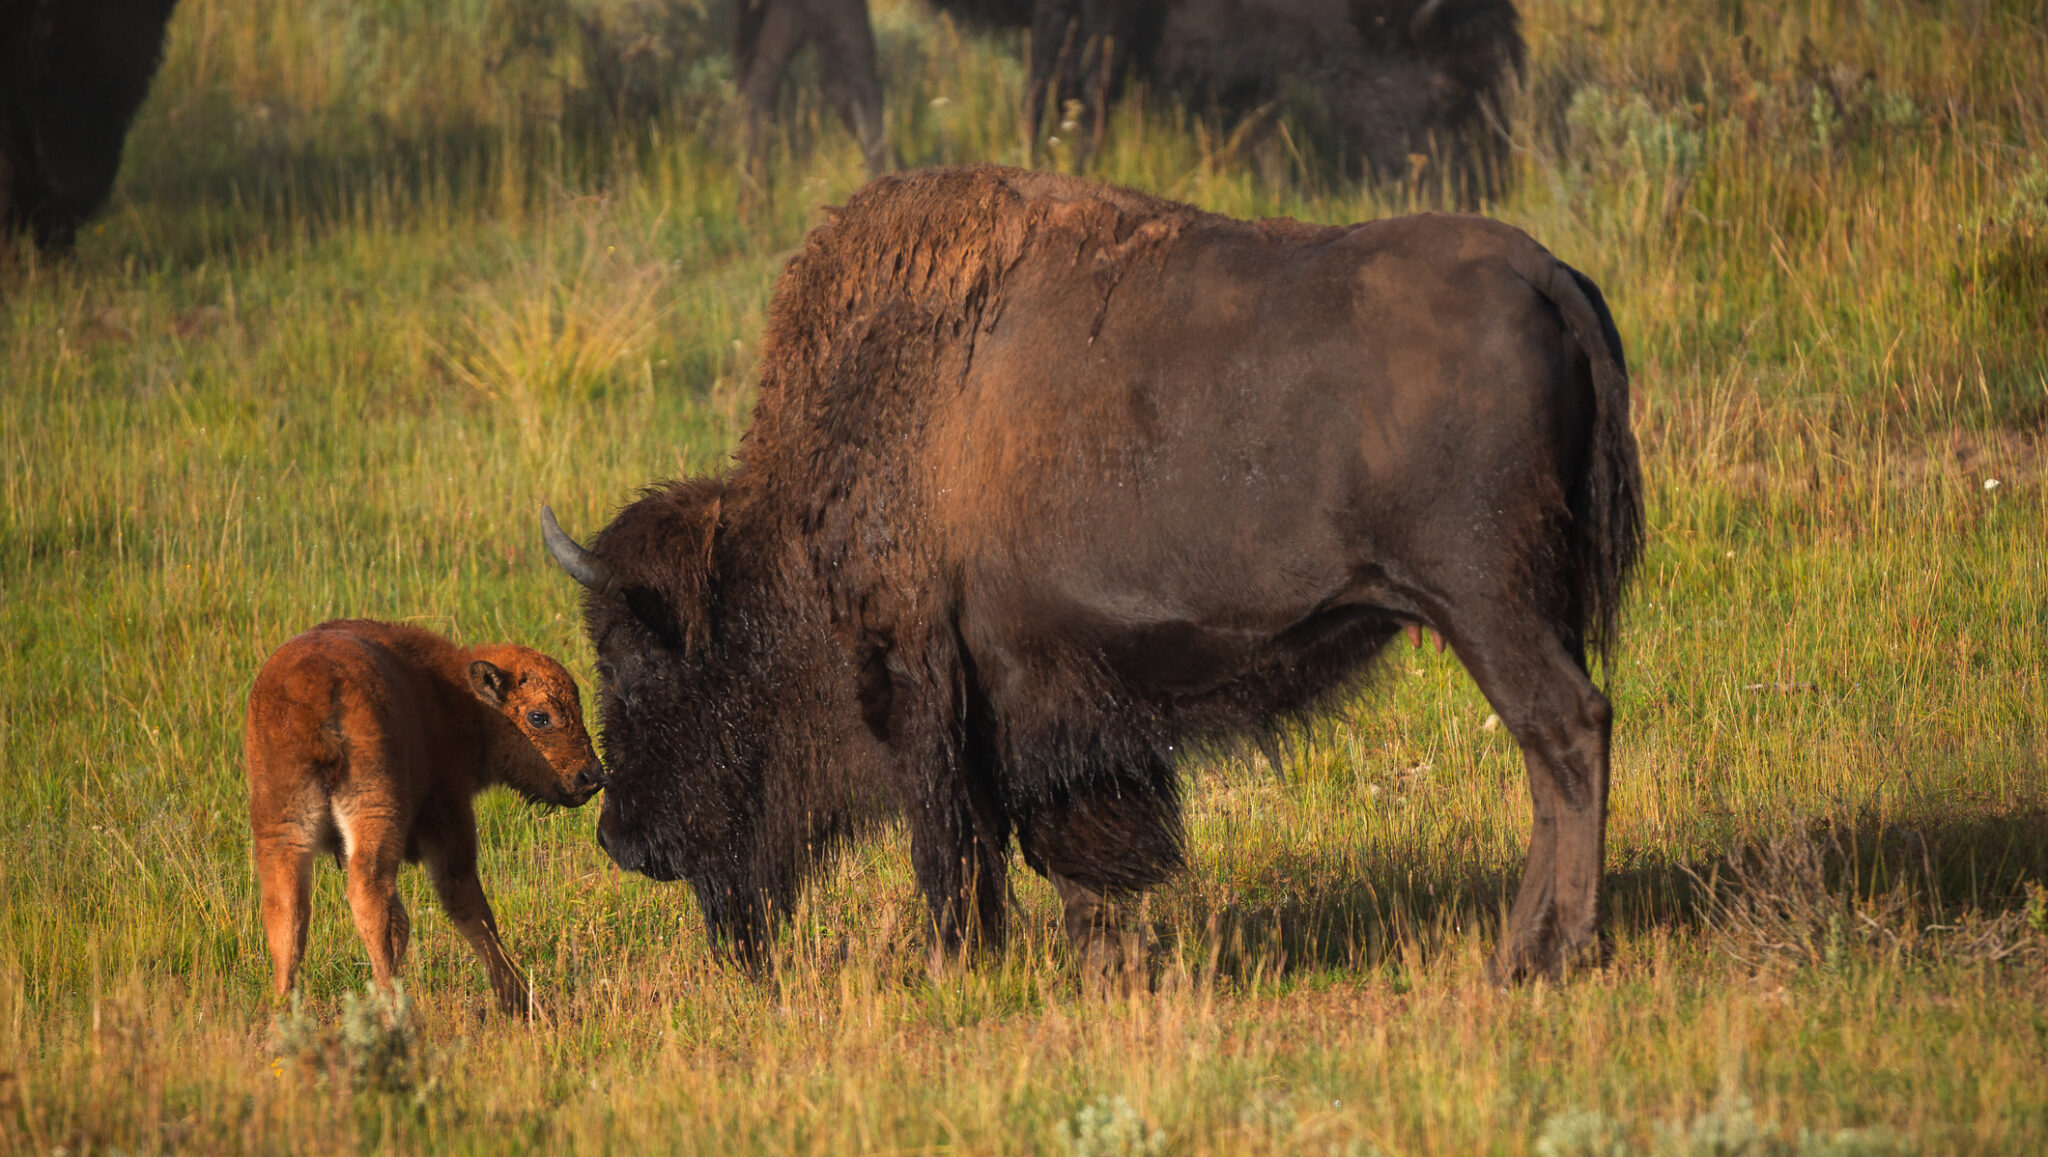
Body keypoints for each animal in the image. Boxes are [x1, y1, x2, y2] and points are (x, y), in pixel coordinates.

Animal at [546, 165, 1641, 983]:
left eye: (640, 660)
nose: (618, 838)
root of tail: (1544, 271)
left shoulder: (923, 681)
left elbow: (954, 847)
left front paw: (955, 969)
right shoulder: (1043, 702)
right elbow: (1057, 840)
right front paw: (1096, 960)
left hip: (1484, 604)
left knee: (1564, 730)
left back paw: (1537, 954)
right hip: (1527, 605)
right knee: (1558, 742)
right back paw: (1535, 948)